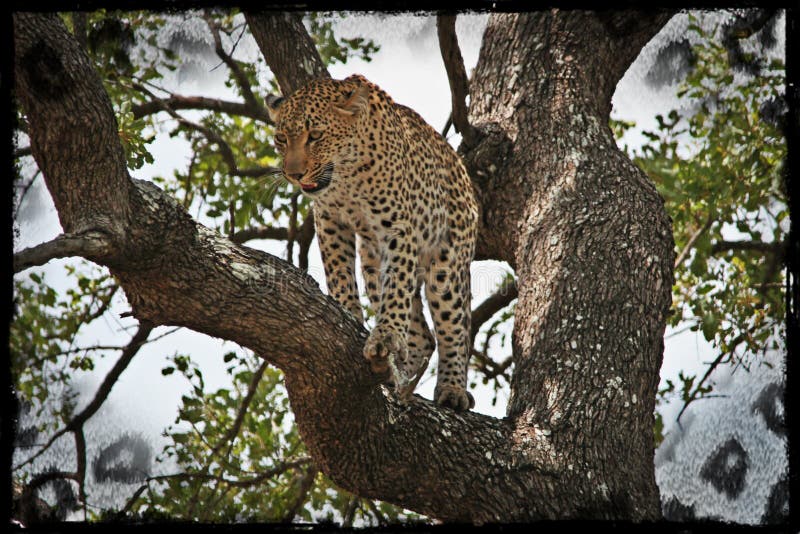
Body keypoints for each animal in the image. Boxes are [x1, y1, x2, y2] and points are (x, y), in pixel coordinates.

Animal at [266, 74, 478, 411]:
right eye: (281, 139)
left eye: (315, 135)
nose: (294, 174)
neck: (347, 176)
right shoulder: (330, 220)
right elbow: (338, 271)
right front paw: (348, 312)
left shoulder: (398, 228)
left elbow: (398, 291)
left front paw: (386, 334)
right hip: (372, 262)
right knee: (423, 335)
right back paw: (396, 375)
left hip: (448, 262)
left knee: (452, 328)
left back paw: (452, 388)